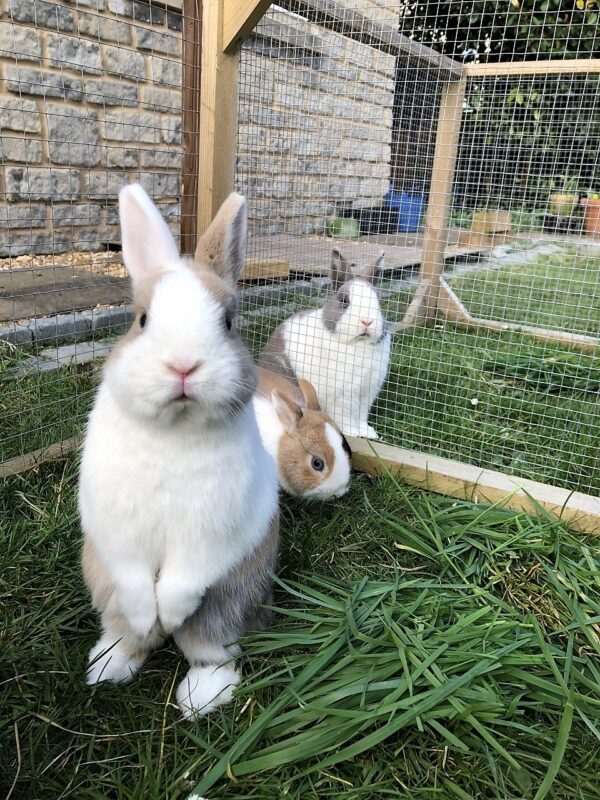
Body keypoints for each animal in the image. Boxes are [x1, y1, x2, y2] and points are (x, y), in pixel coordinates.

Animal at [79, 184, 279, 719]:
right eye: (142, 320)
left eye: (228, 322)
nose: (184, 366)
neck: (173, 431)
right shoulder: (116, 529)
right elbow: (135, 582)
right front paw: (151, 617)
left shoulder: (208, 532)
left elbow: (183, 579)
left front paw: (167, 613)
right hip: (99, 580)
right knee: (129, 633)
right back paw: (108, 666)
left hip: (231, 598)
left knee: (209, 648)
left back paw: (199, 697)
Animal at [259, 247, 391, 440]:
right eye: (344, 301)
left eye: (378, 302)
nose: (367, 321)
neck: (357, 344)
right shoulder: (344, 394)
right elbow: (348, 417)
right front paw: (353, 433)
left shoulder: (368, 390)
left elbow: (361, 416)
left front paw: (369, 433)